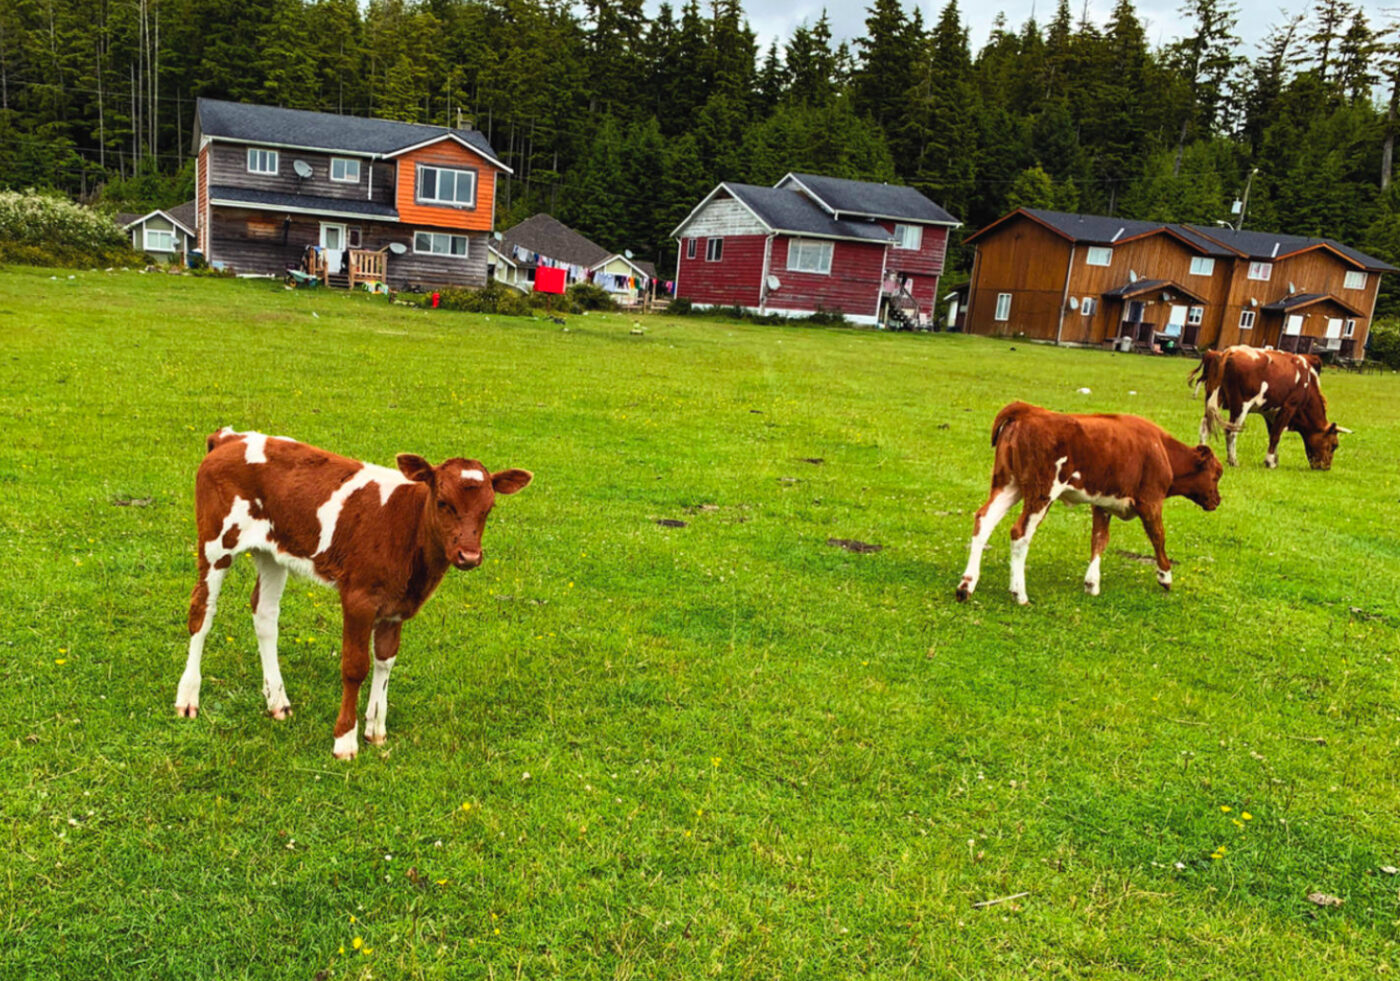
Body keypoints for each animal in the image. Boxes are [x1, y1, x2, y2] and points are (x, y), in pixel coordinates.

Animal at [175, 428, 532, 759]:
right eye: (443, 502)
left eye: (489, 508)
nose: (469, 556)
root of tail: (231, 437)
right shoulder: (358, 598)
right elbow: (355, 666)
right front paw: (345, 740)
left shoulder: (396, 606)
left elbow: (385, 661)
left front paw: (376, 728)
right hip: (215, 542)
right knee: (201, 612)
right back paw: (188, 698)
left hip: (272, 552)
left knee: (264, 616)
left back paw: (277, 701)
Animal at [955, 402, 1222, 605]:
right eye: (1217, 474)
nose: (1218, 501)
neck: (1163, 450)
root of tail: (1029, 410)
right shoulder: (1150, 502)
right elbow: (1158, 537)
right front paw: (1165, 576)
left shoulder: (1102, 504)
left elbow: (1099, 540)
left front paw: (1092, 582)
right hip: (1042, 492)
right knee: (1020, 534)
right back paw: (1019, 593)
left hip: (1008, 485)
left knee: (984, 520)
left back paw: (966, 585)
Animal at [1188, 346, 1351, 470]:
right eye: (1334, 445)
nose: (1326, 467)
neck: (1307, 385)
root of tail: (1231, 351)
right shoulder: (1289, 407)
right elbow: (1276, 435)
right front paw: (1270, 462)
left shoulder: (1270, 413)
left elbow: (1272, 433)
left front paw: (1274, 459)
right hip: (1240, 406)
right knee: (1231, 431)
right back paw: (1233, 460)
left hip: (1213, 398)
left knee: (1205, 426)